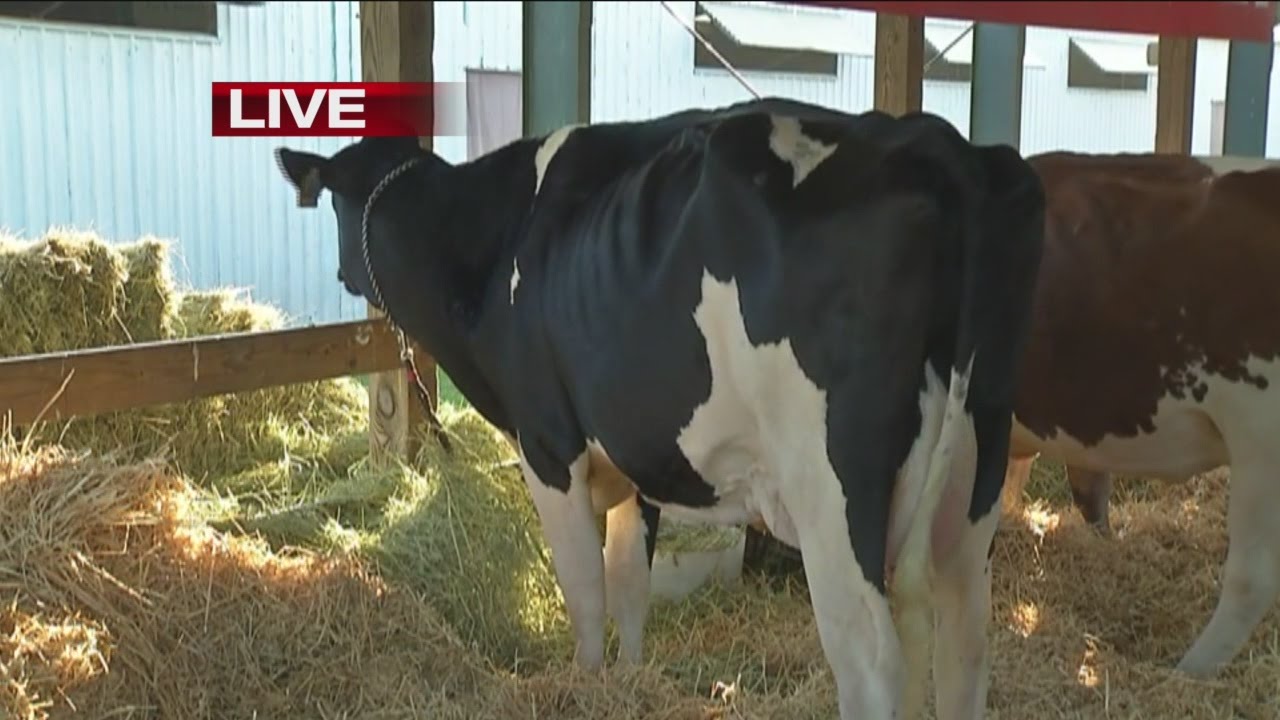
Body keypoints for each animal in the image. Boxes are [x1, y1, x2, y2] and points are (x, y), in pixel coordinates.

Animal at [273, 97, 1046, 720]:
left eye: (334, 204)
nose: (343, 272)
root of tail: (939, 144)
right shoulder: (636, 455)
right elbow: (630, 585)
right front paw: (629, 680)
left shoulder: (548, 442)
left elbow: (586, 593)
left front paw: (585, 684)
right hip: (973, 479)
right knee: (965, 643)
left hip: (832, 488)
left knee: (872, 658)